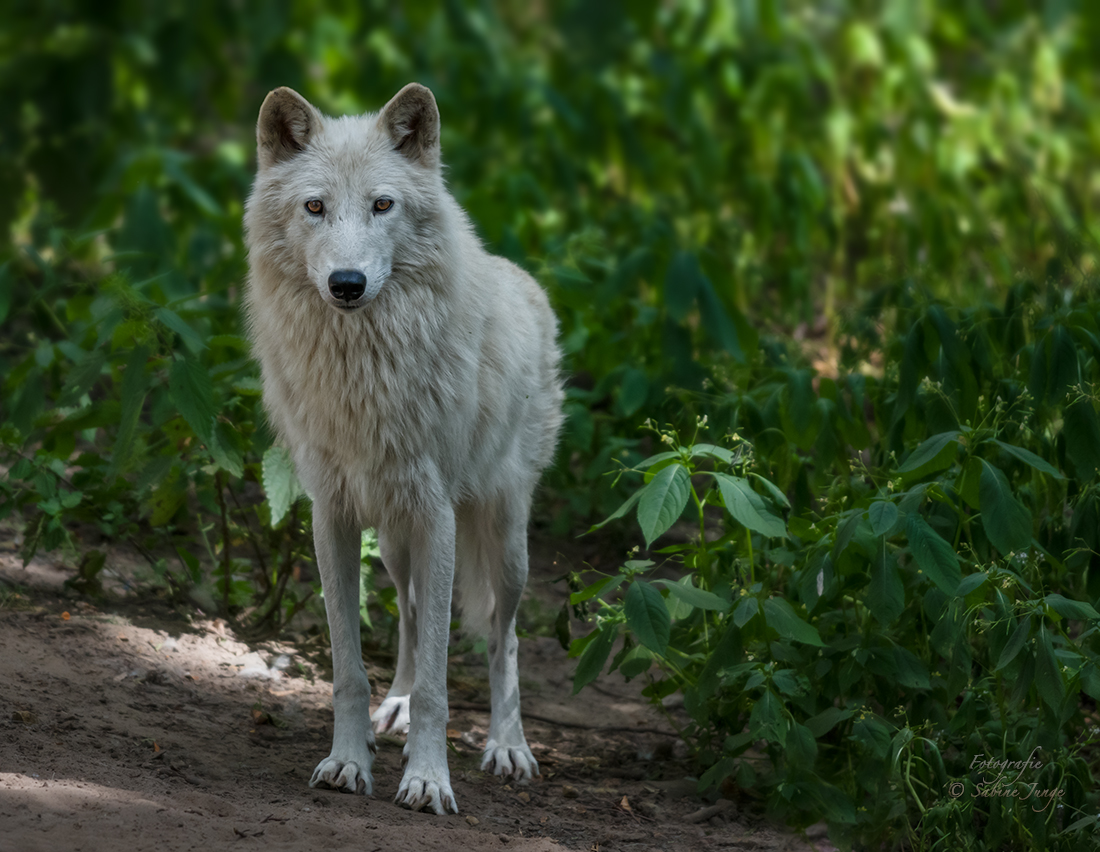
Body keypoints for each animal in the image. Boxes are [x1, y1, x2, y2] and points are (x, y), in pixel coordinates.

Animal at [244, 83, 563, 817]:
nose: (347, 282)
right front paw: (348, 760)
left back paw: (509, 747)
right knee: (414, 617)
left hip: (503, 543)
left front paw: (427, 779)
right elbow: (349, 667)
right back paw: (395, 709)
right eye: (315, 207)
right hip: (392, 542)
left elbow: (444, 682)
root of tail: (524, 281)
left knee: (503, 637)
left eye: (382, 205)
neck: (360, 371)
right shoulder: (331, 515)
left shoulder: (437, 514)